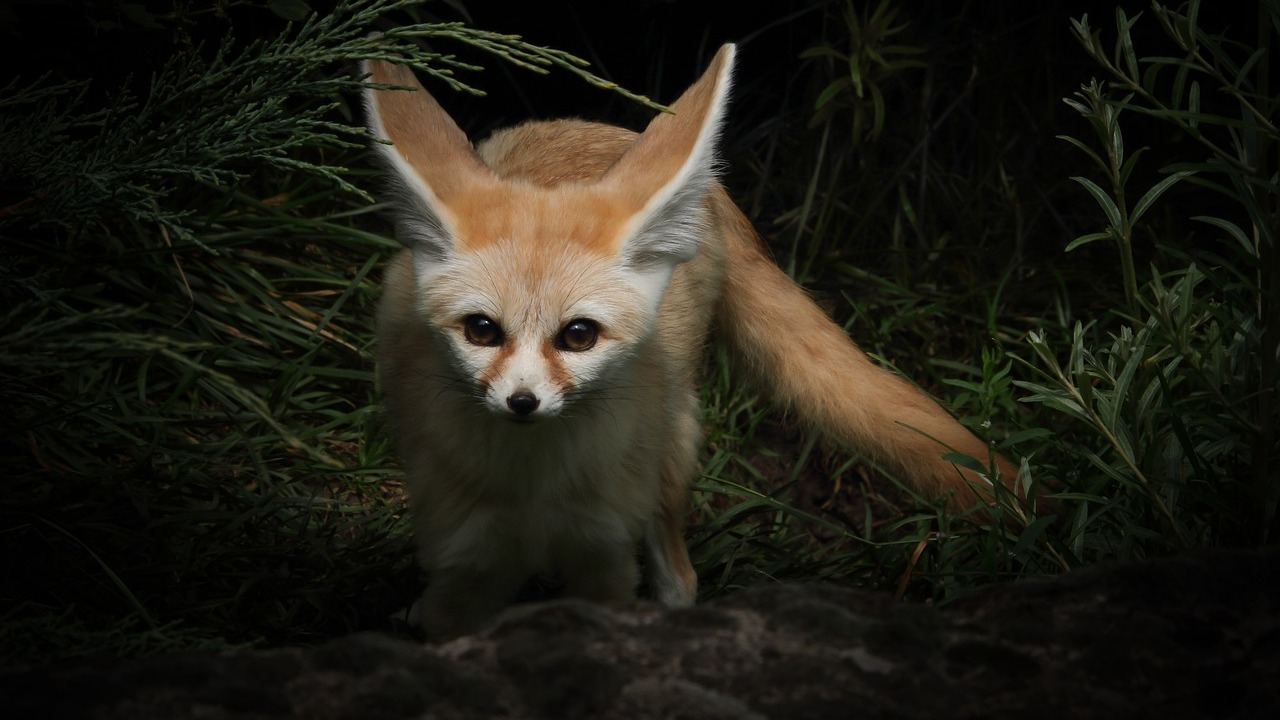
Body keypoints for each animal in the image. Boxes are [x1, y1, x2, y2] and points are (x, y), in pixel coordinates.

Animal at [363, 43, 1025, 641]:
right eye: (482, 329)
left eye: (578, 335)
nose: (522, 403)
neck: (534, 488)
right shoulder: (464, 558)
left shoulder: (603, 559)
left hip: (671, 455)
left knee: (681, 576)